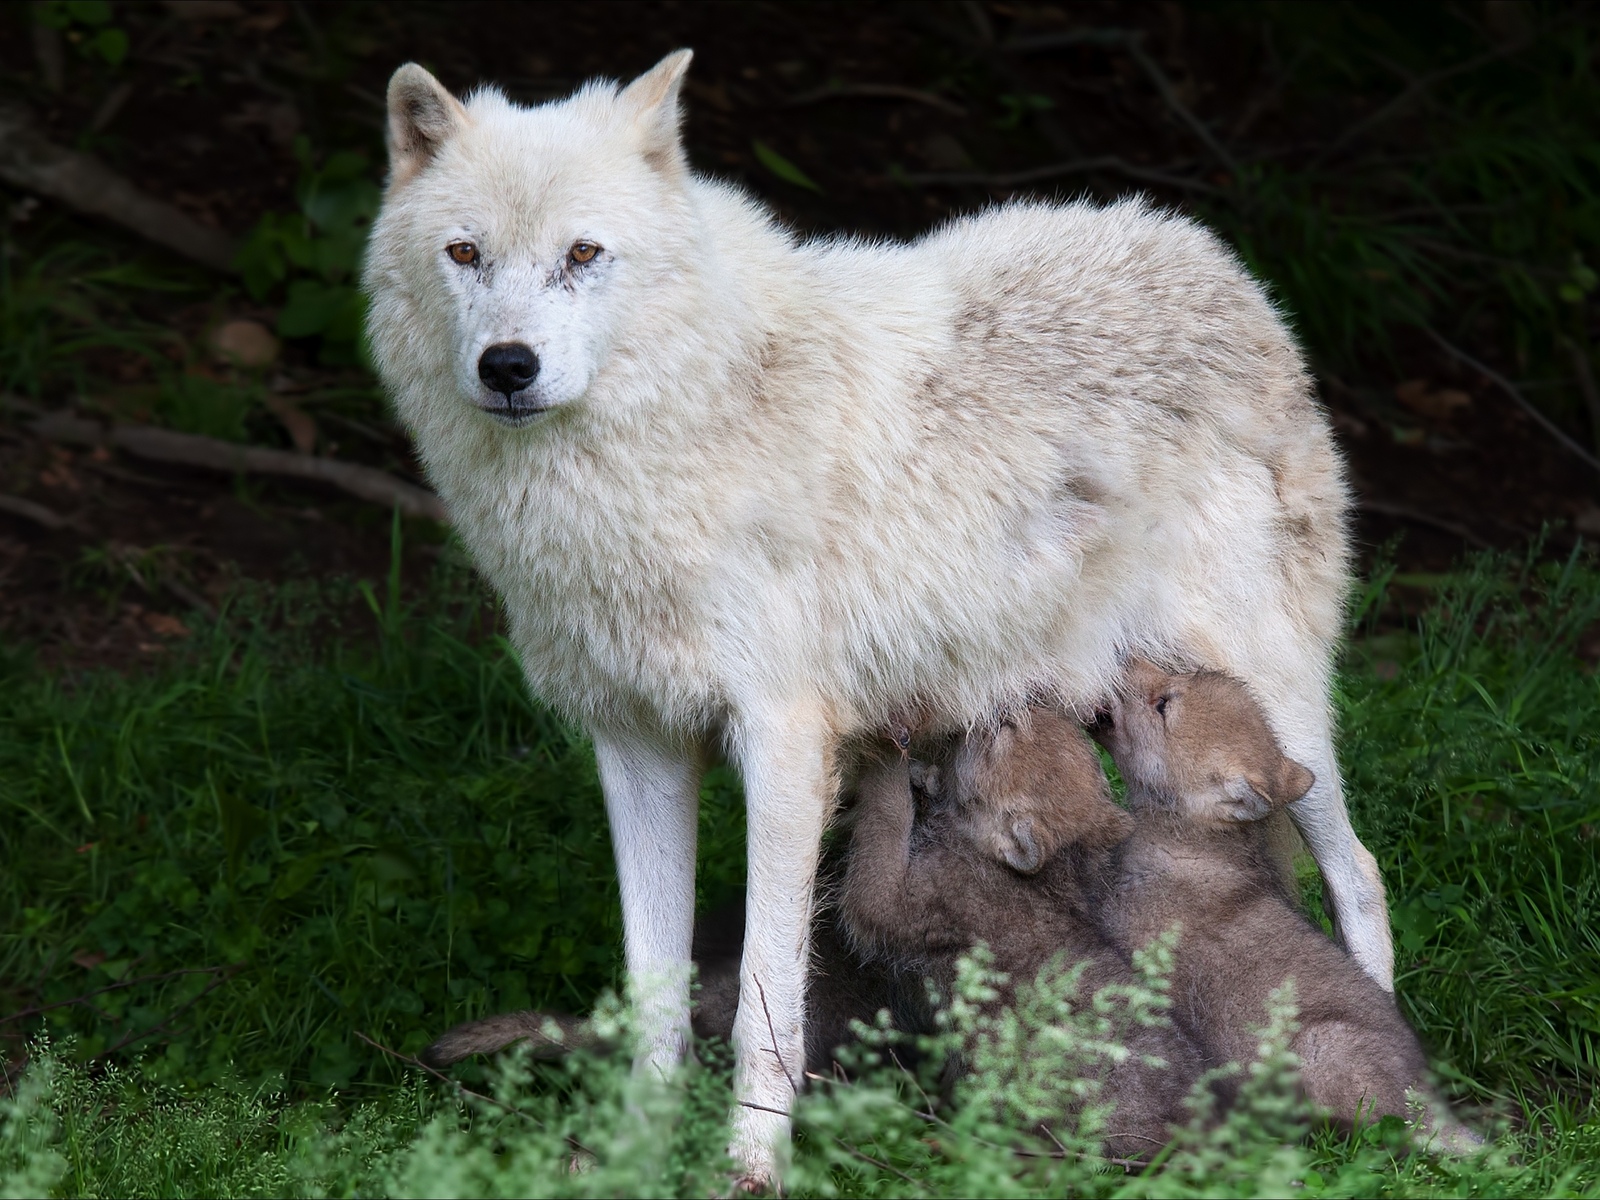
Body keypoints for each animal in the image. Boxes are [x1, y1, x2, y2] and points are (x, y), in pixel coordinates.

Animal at [362, 49, 1388, 1181]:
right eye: (466, 253)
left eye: (583, 253)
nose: (507, 365)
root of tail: (1216, 264)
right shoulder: (636, 744)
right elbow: (653, 993)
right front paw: (637, 1152)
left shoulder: (781, 745)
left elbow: (767, 995)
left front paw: (751, 1169)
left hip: (1278, 714)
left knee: (1360, 872)